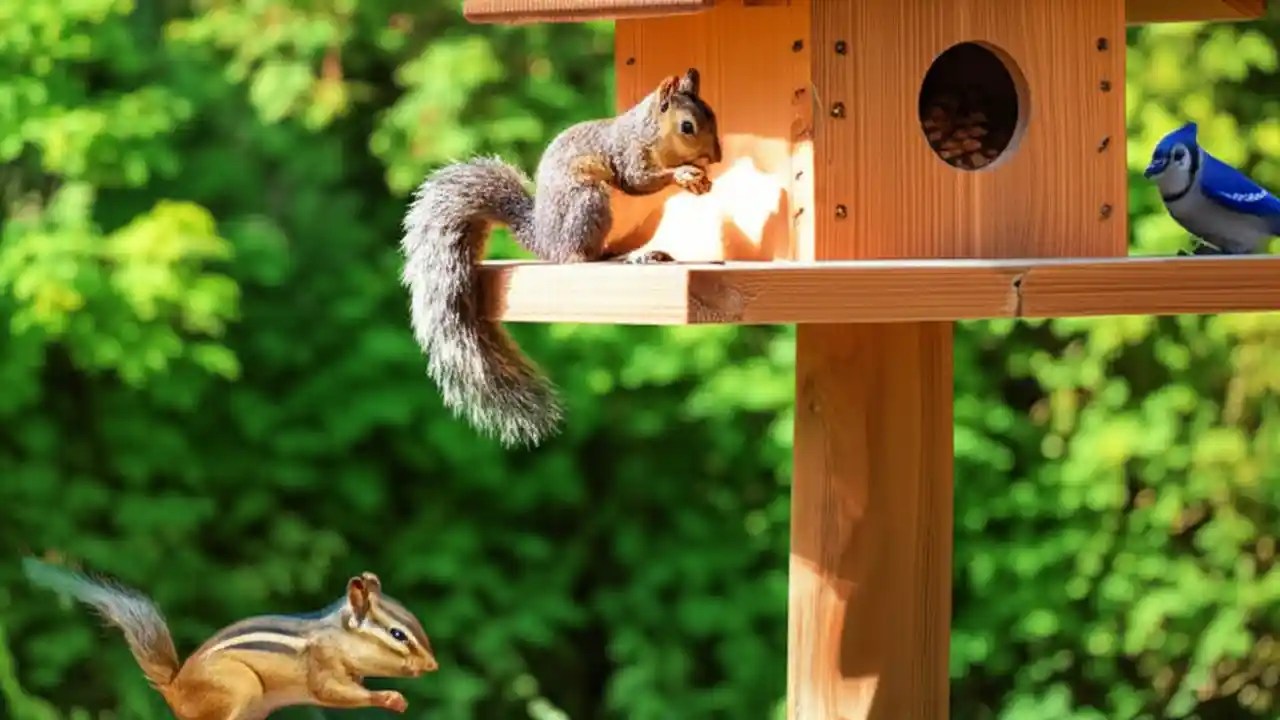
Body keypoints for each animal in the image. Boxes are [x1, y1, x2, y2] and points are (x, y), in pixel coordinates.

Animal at [23, 557, 437, 719]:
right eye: (398, 635)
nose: (433, 666)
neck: (337, 636)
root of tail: (175, 689)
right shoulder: (321, 664)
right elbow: (333, 692)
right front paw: (391, 698)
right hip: (237, 686)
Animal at [399, 67, 723, 449]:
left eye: (713, 115)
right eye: (687, 126)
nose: (716, 157)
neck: (648, 132)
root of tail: (544, 240)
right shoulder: (628, 156)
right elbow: (638, 181)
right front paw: (684, 174)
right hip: (590, 201)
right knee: (580, 258)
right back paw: (627, 256)